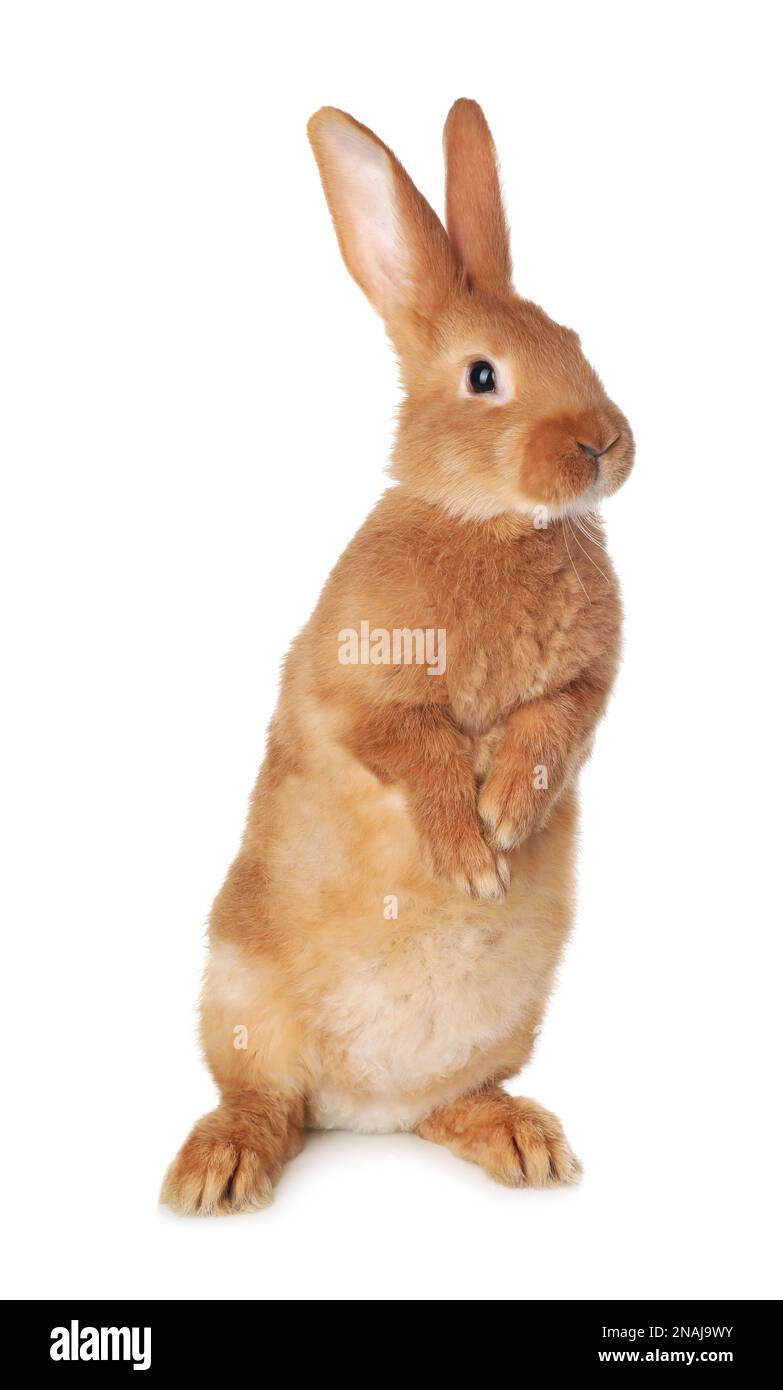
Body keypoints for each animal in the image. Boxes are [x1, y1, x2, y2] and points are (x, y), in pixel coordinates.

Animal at [161, 99, 634, 1215]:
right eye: (482, 376)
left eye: (574, 340)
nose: (604, 442)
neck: (490, 518)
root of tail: (361, 1110)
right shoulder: (350, 690)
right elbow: (415, 747)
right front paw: (470, 851)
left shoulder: (586, 686)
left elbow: (550, 729)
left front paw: (511, 814)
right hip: (240, 992)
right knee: (261, 1098)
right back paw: (219, 1168)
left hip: (499, 1030)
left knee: (448, 1102)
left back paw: (518, 1140)